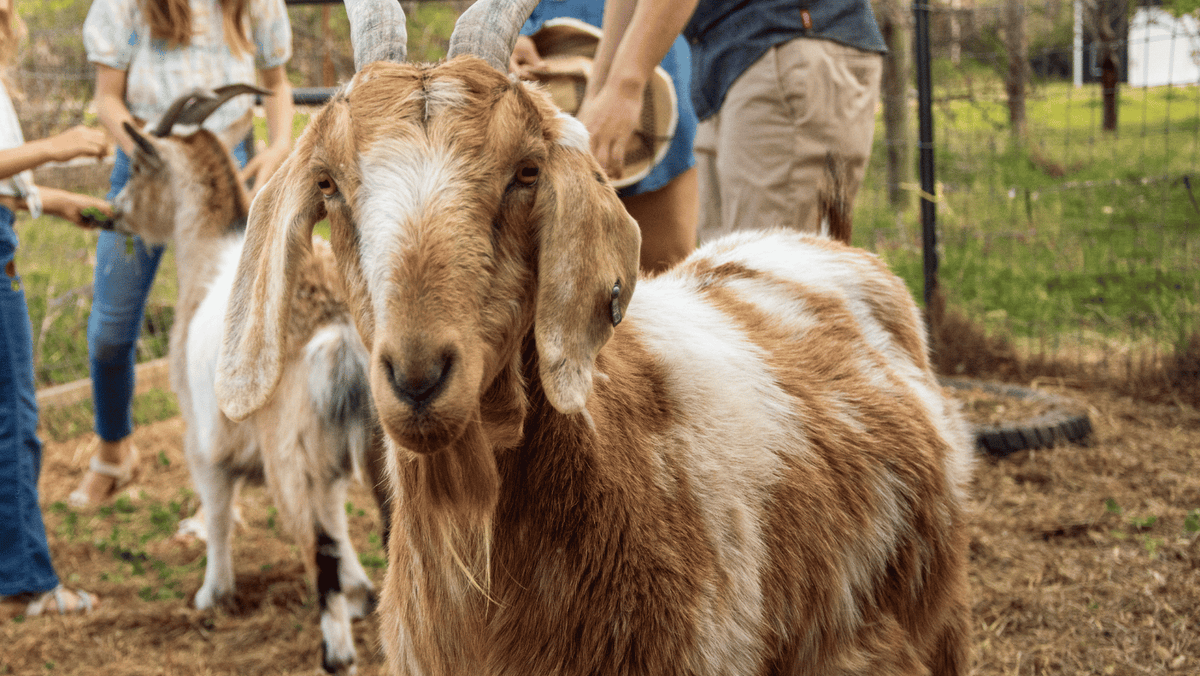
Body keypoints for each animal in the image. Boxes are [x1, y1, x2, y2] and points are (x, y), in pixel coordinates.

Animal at [111, 86, 390, 675]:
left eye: (139, 166)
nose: (115, 213)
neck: (211, 255)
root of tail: (337, 328)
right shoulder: (326, 462)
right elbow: (338, 518)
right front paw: (363, 593)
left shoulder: (203, 441)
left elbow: (217, 512)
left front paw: (211, 593)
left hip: (288, 455)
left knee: (316, 547)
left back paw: (336, 654)